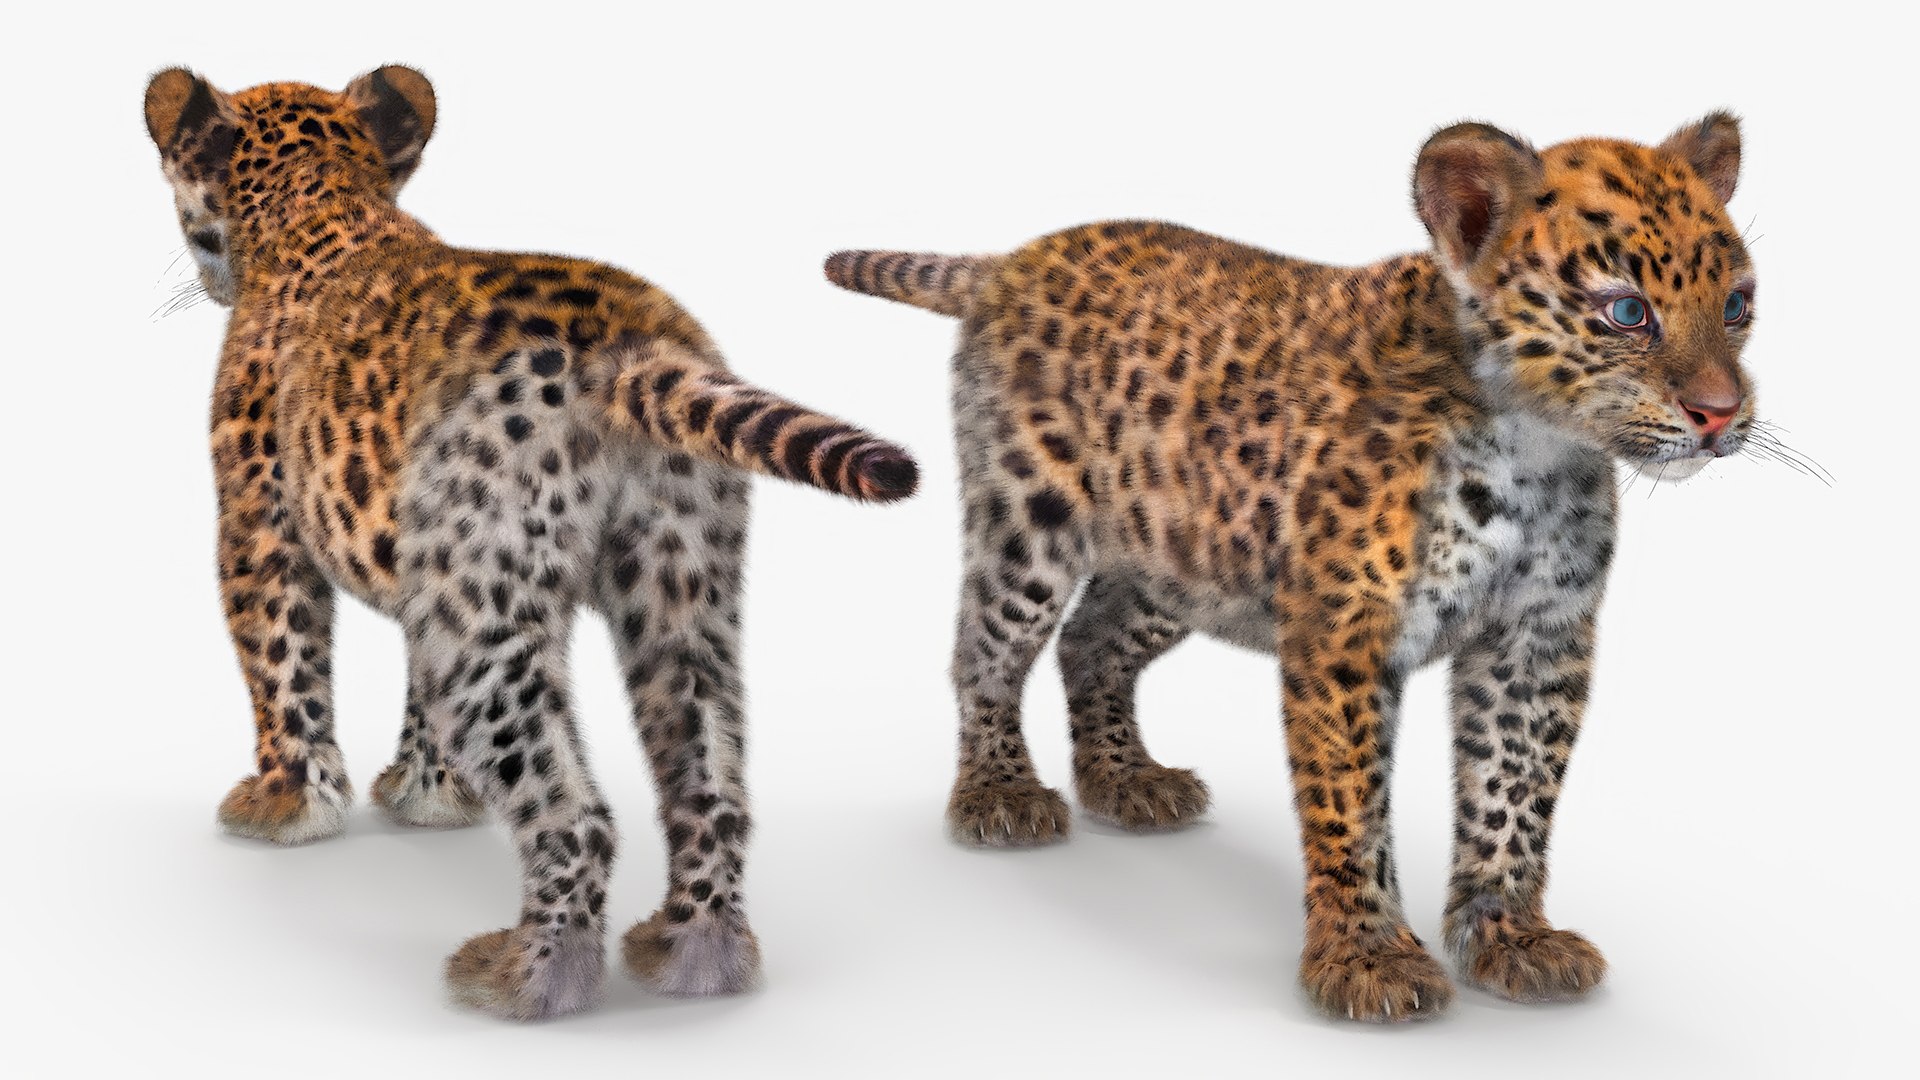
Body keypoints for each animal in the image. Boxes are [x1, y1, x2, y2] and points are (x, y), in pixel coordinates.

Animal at [144, 65, 919, 1020]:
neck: (322, 197)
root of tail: (628, 347)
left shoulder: (261, 528)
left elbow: (283, 671)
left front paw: (287, 805)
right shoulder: (429, 576)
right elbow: (415, 697)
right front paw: (430, 796)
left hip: (494, 618)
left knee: (576, 818)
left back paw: (527, 974)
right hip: (680, 582)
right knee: (711, 788)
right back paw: (697, 952)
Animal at [825, 113, 1756, 1022]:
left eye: (1739, 305)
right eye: (1628, 312)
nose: (1720, 414)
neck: (1537, 449)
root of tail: (1013, 259)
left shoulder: (1538, 641)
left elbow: (1514, 789)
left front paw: (1510, 939)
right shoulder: (1344, 634)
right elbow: (1352, 802)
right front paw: (1368, 957)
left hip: (1182, 556)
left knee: (1090, 640)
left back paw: (1126, 780)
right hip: (1031, 527)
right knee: (984, 651)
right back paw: (999, 795)